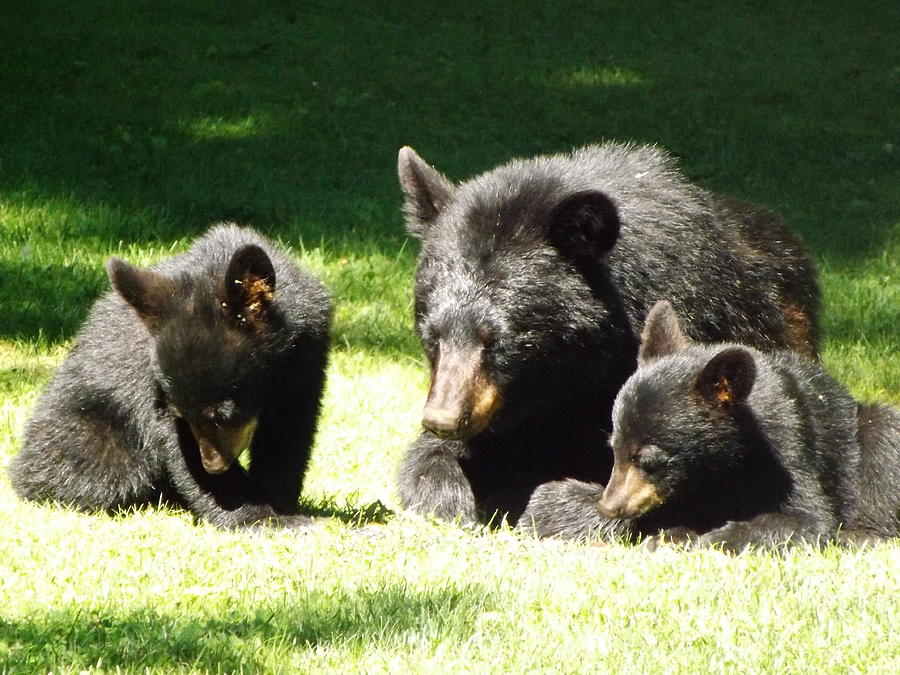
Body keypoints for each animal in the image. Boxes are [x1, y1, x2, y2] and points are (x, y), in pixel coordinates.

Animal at [9, 223, 332, 529]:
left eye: (224, 415)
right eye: (183, 415)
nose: (213, 466)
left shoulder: (307, 354)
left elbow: (289, 431)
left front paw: (281, 505)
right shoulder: (154, 387)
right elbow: (176, 445)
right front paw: (262, 517)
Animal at [521, 301, 900, 550]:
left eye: (649, 459)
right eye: (613, 449)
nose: (611, 504)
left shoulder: (788, 442)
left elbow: (806, 517)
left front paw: (718, 536)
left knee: (882, 440)